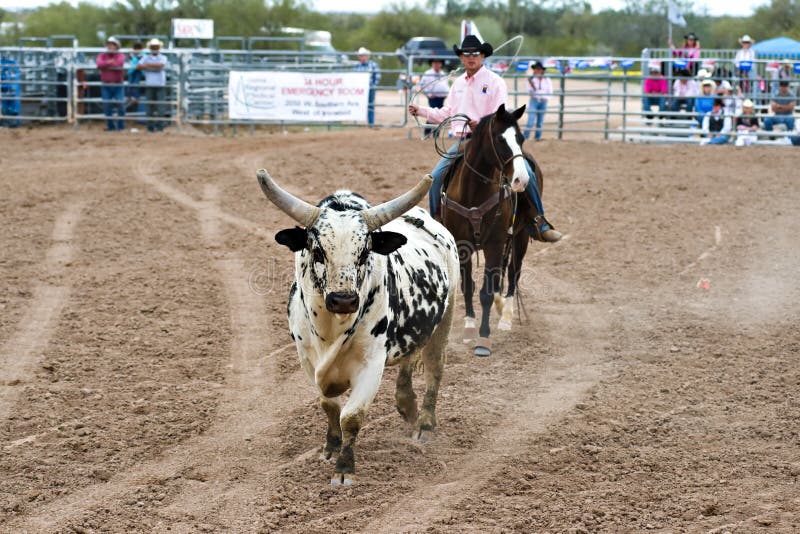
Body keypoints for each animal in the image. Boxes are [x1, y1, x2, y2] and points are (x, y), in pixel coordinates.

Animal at [257, 169, 459, 486]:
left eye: (365, 253)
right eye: (317, 251)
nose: (343, 299)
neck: (331, 328)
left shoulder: (371, 363)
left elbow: (351, 416)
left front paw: (344, 469)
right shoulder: (307, 360)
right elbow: (329, 406)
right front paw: (330, 447)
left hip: (445, 318)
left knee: (434, 368)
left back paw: (425, 424)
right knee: (409, 363)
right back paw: (408, 406)